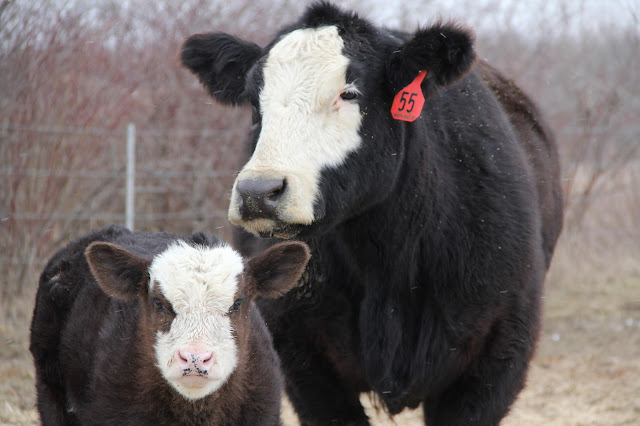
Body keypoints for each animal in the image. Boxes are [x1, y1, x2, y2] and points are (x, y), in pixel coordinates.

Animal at [180, 2, 563, 425]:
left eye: (349, 92)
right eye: (253, 99)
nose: (258, 192)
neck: (389, 259)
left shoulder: (497, 355)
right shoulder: (302, 358)